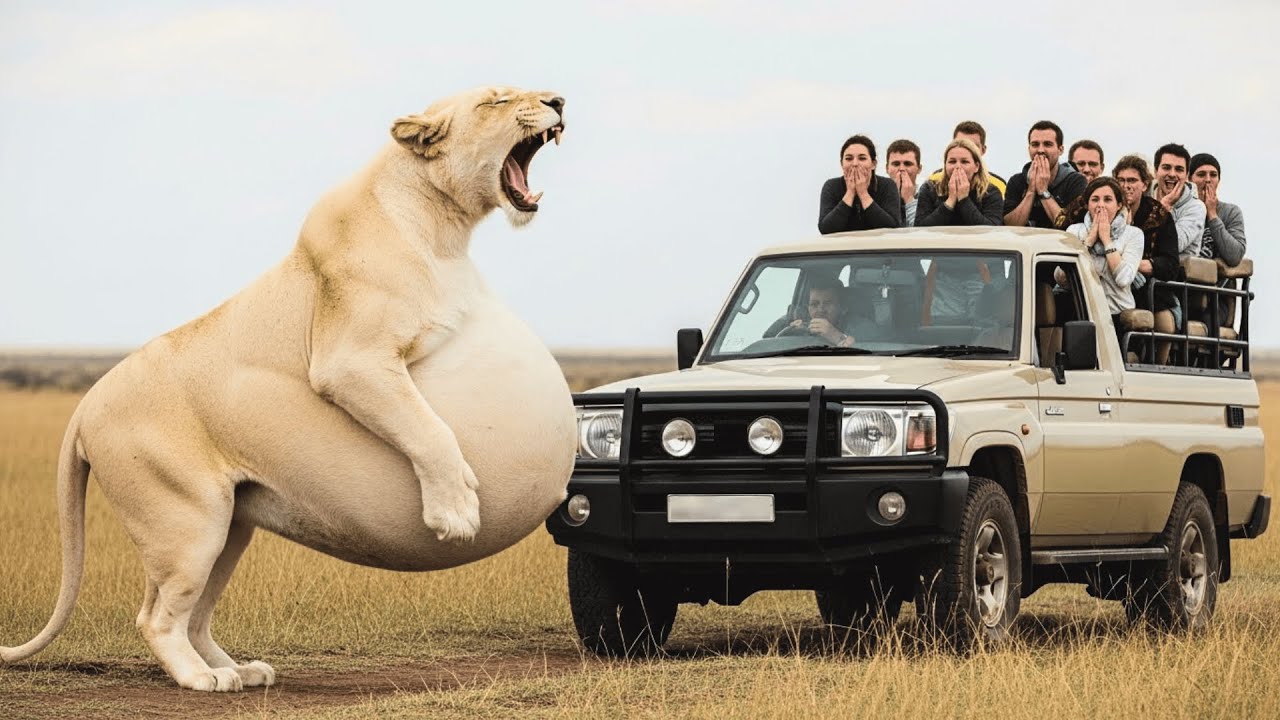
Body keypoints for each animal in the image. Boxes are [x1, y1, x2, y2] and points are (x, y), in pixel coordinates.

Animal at [1, 86, 577, 692]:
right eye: (498, 100)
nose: (558, 99)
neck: (442, 229)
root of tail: (83, 407)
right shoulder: (349, 361)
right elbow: (429, 429)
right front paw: (456, 510)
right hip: (188, 521)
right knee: (158, 616)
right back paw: (203, 679)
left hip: (229, 528)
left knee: (196, 616)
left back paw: (239, 669)